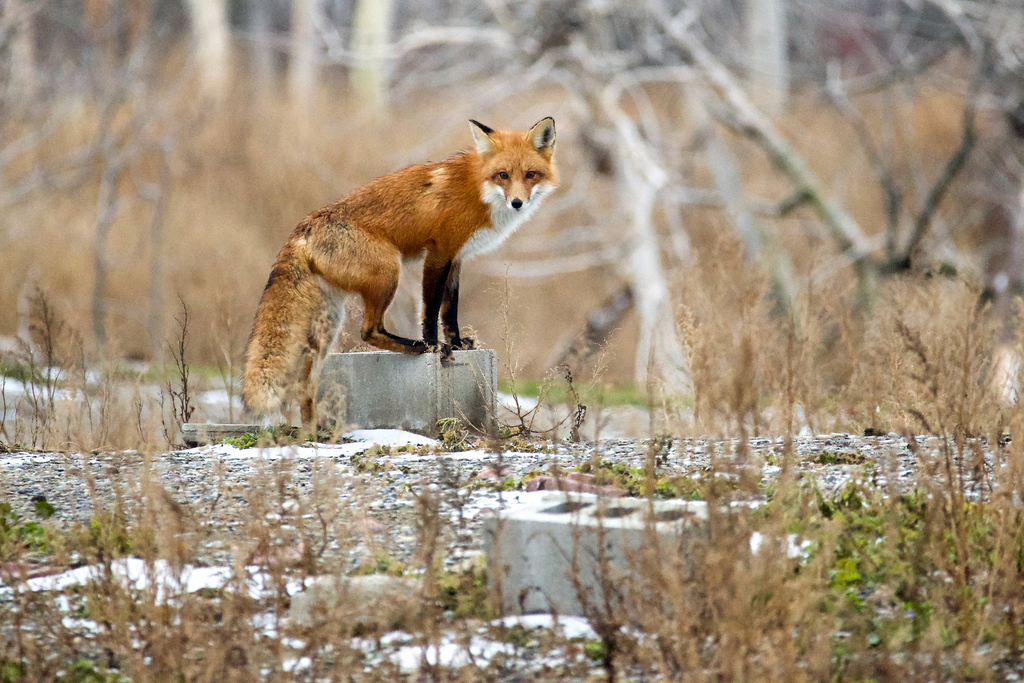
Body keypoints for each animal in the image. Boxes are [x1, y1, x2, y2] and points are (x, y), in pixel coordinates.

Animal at [242, 117, 558, 430]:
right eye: (502, 175)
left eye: (530, 174)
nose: (517, 202)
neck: (479, 190)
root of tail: (303, 228)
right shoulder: (439, 253)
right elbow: (431, 310)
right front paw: (435, 346)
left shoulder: (457, 258)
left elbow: (450, 311)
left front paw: (457, 343)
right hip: (387, 275)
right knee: (369, 331)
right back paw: (416, 347)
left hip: (329, 321)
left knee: (307, 380)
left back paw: (313, 431)